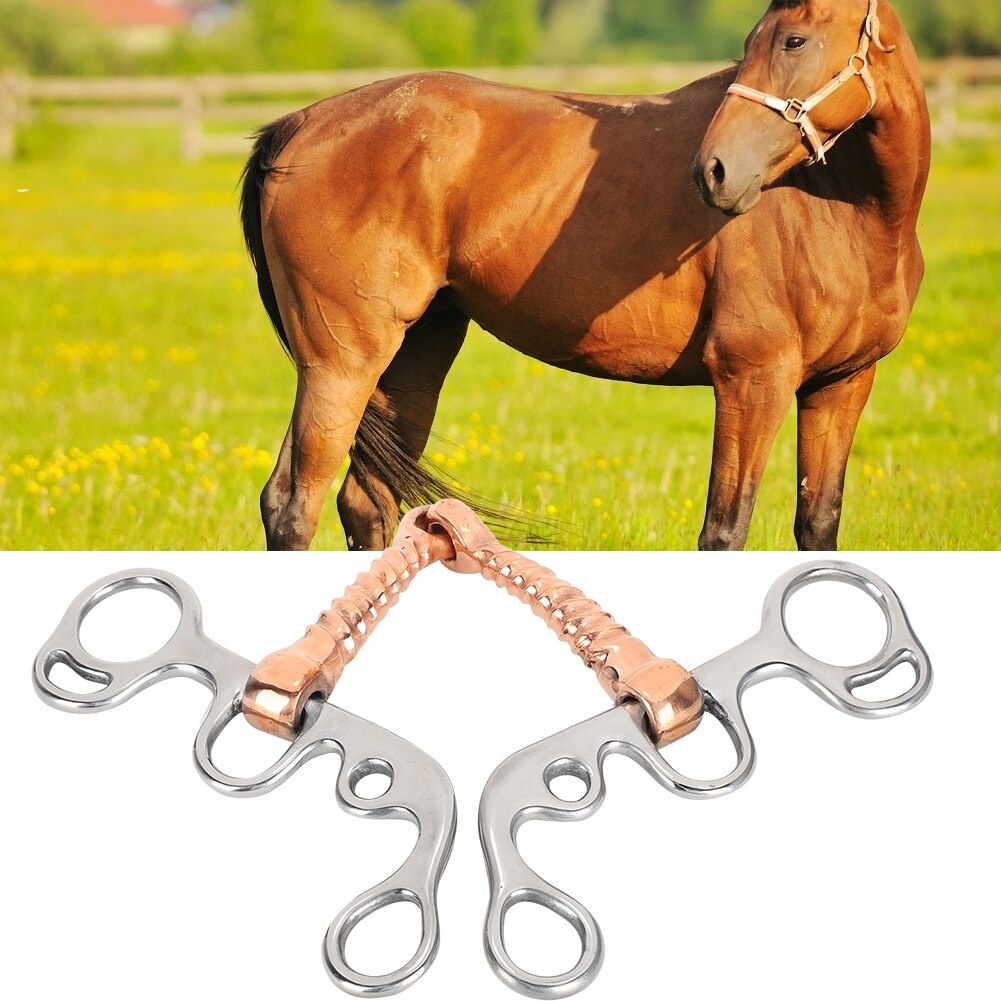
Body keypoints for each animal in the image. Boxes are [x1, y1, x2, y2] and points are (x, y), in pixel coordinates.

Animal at [240, 0, 929, 551]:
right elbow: (725, 531)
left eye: (792, 40)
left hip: (410, 357)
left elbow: (818, 523)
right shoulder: (752, 381)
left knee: (363, 504)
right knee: (293, 505)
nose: (714, 171)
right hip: (340, 363)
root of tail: (297, 127)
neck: (847, 209)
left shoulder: (841, 385)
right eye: (760, 40)